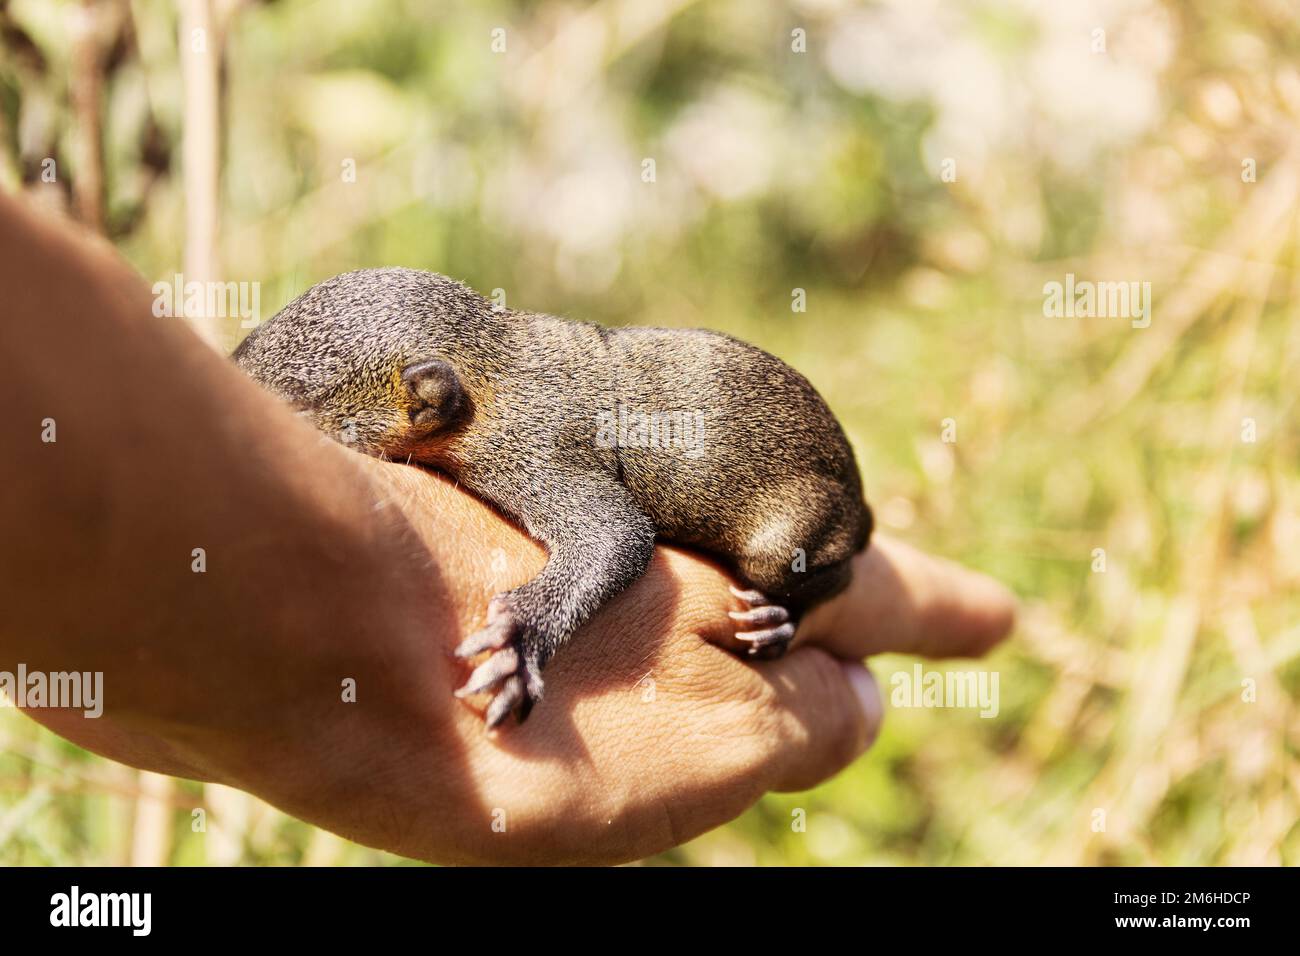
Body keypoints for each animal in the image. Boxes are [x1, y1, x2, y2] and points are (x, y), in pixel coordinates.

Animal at [232, 268, 872, 729]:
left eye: (294, 405)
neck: (494, 370)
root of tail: (862, 506)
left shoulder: (534, 451)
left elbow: (617, 533)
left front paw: (521, 640)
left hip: (792, 537)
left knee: (834, 575)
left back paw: (780, 619)